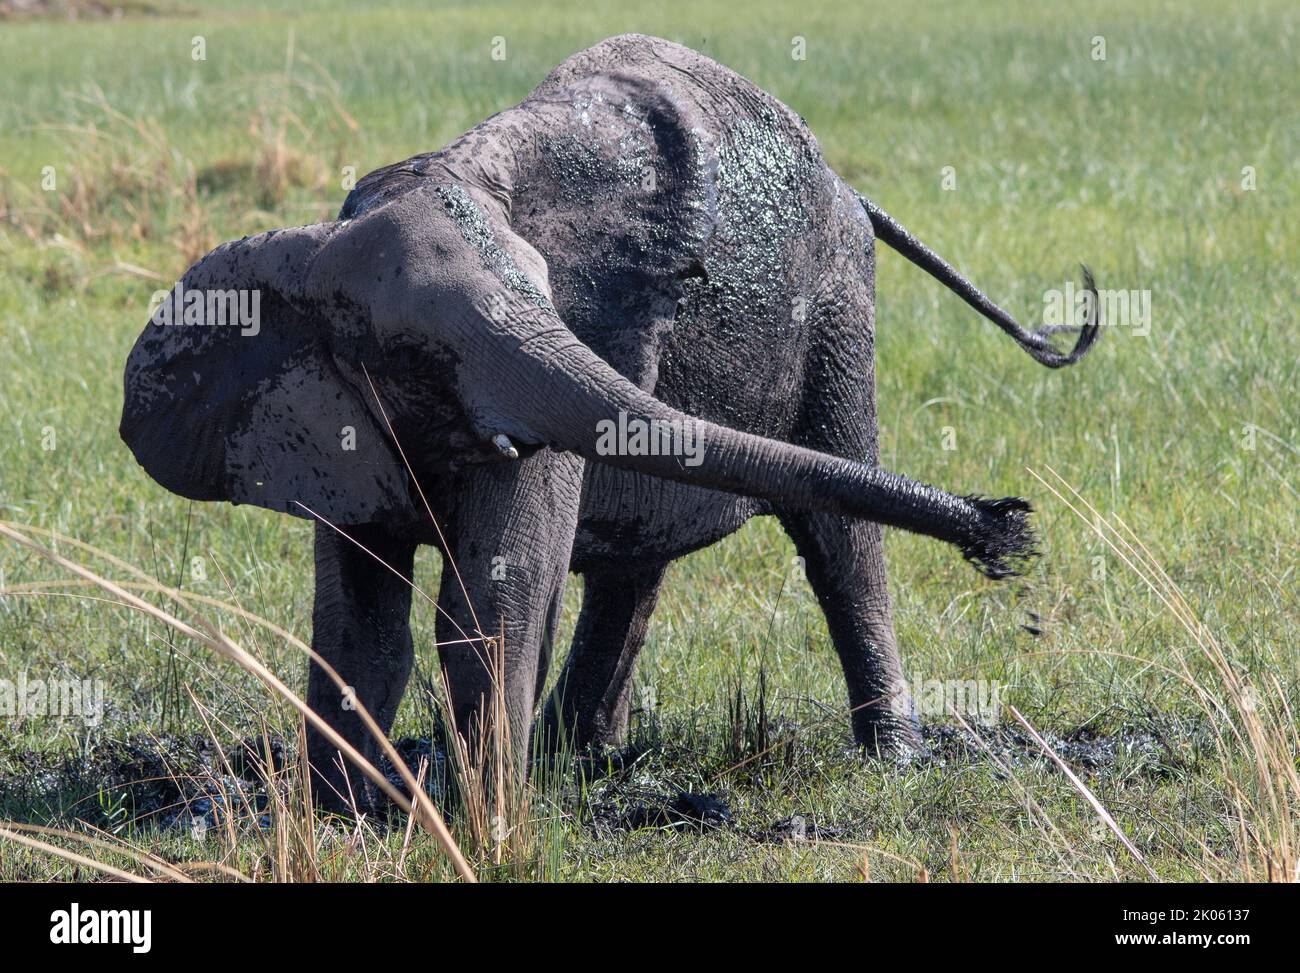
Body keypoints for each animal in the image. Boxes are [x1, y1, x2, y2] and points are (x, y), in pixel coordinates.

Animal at [120, 34, 1097, 811]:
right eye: (403, 349)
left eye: (543, 293)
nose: (1005, 525)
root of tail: (846, 184)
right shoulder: (332, 423)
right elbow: (361, 620)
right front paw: (339, 816)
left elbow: (497, 592)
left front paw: (485, 823)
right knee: (639, 564)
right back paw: (582, 761)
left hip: (836, 307)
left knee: (841, 546)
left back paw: (888, 763)